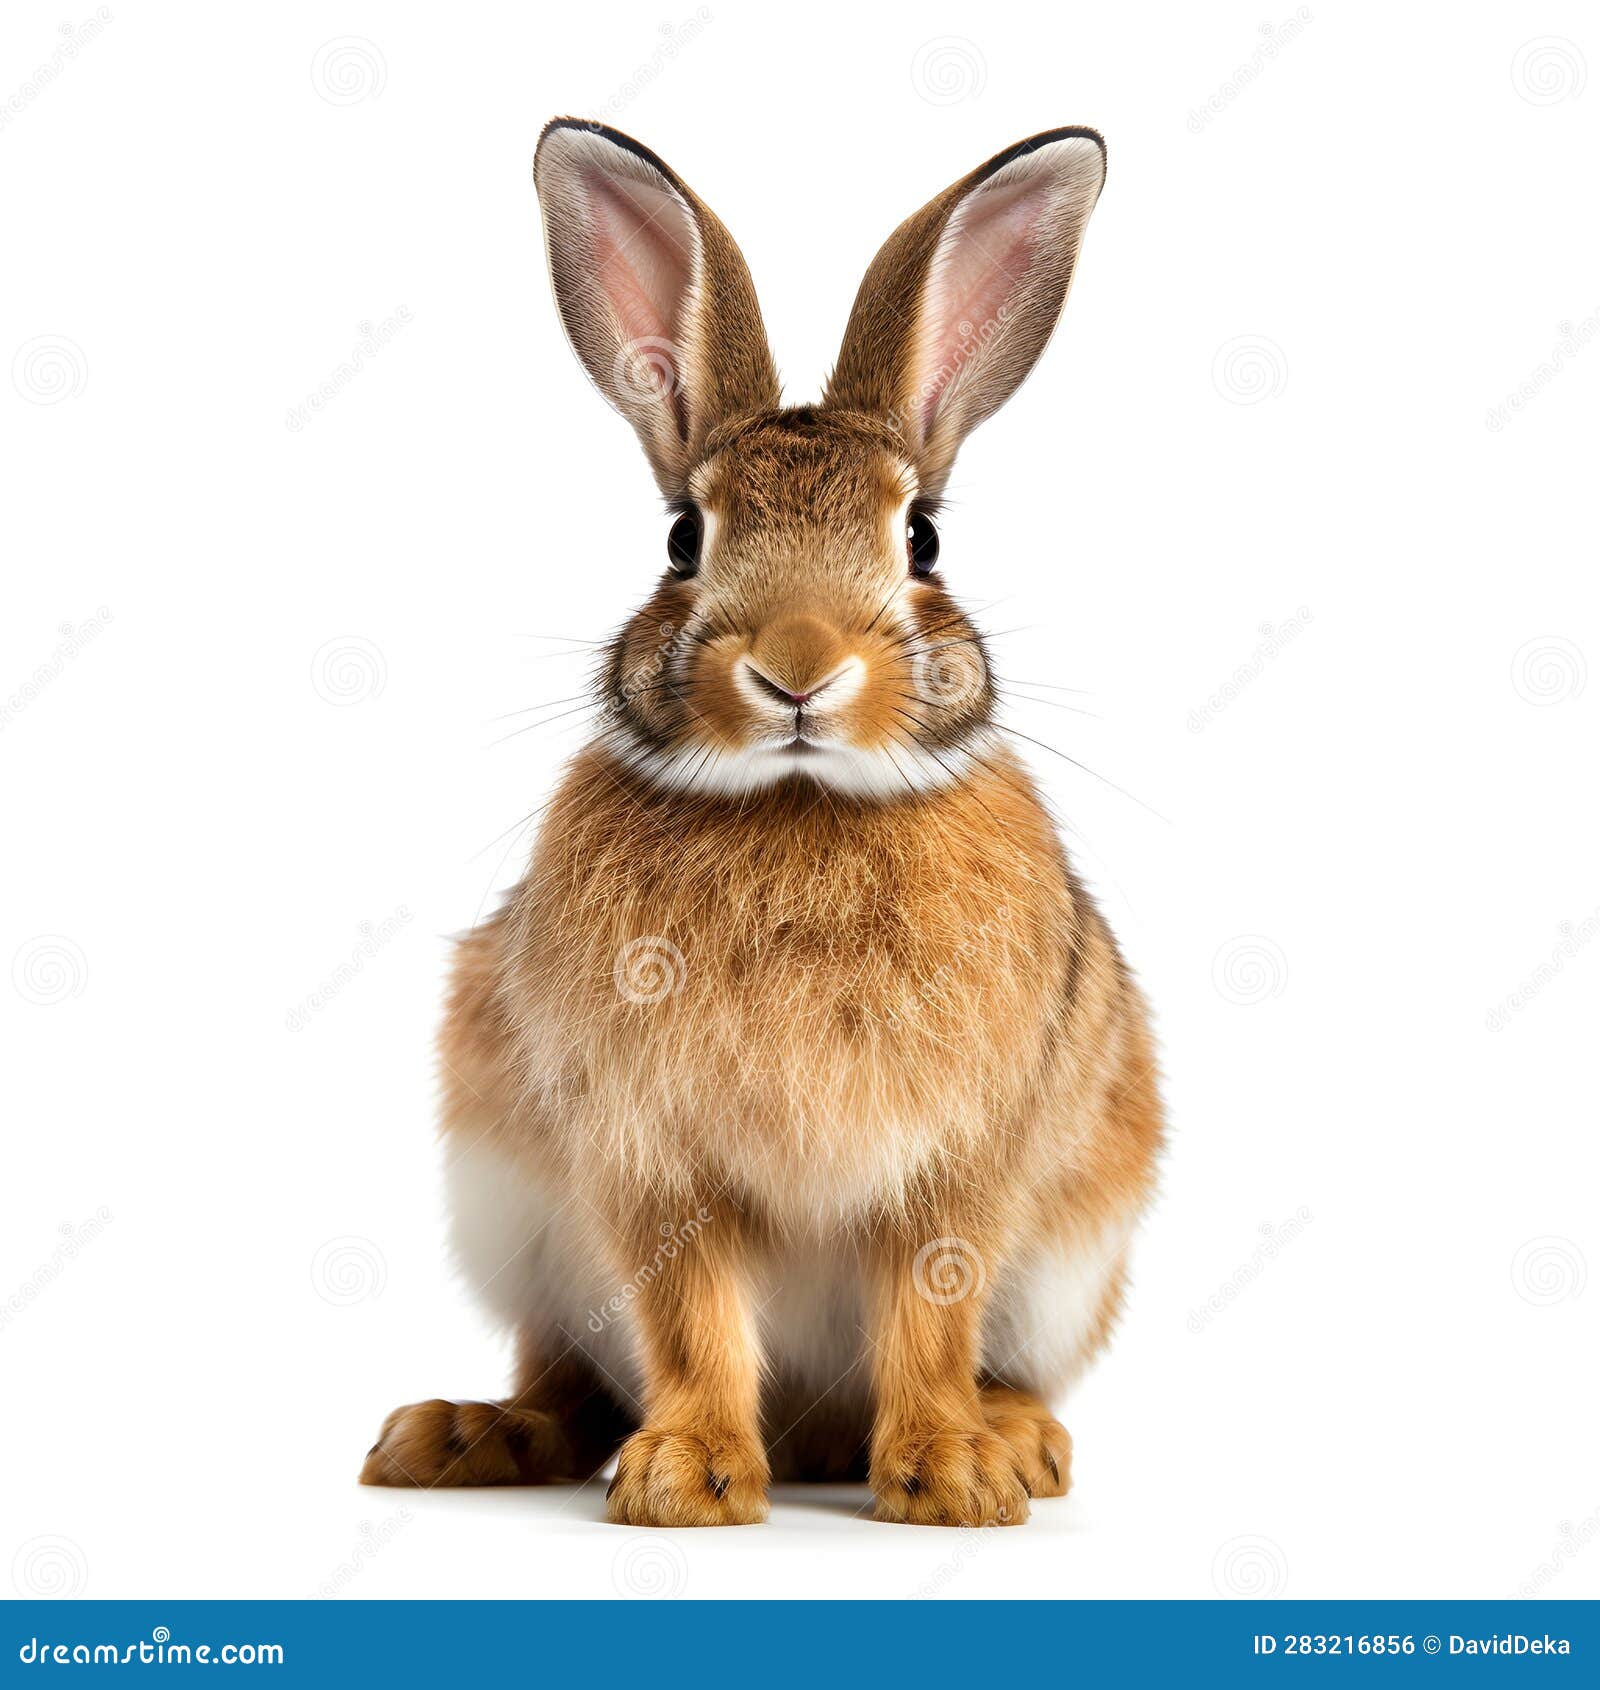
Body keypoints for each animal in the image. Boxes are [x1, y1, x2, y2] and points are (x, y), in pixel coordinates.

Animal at [360, 118, 1163, 1527]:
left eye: (923, 538)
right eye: (684, 538)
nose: (796, 668)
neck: (800, 803)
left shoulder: (958, 1161)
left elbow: (930, 1307)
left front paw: (950, 1475)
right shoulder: (650, 1158)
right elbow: (689, 1314)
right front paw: (690, 1479)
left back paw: (1014, 1440)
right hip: (514, 1215)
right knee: (564, 1371)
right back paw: (469, 1436)